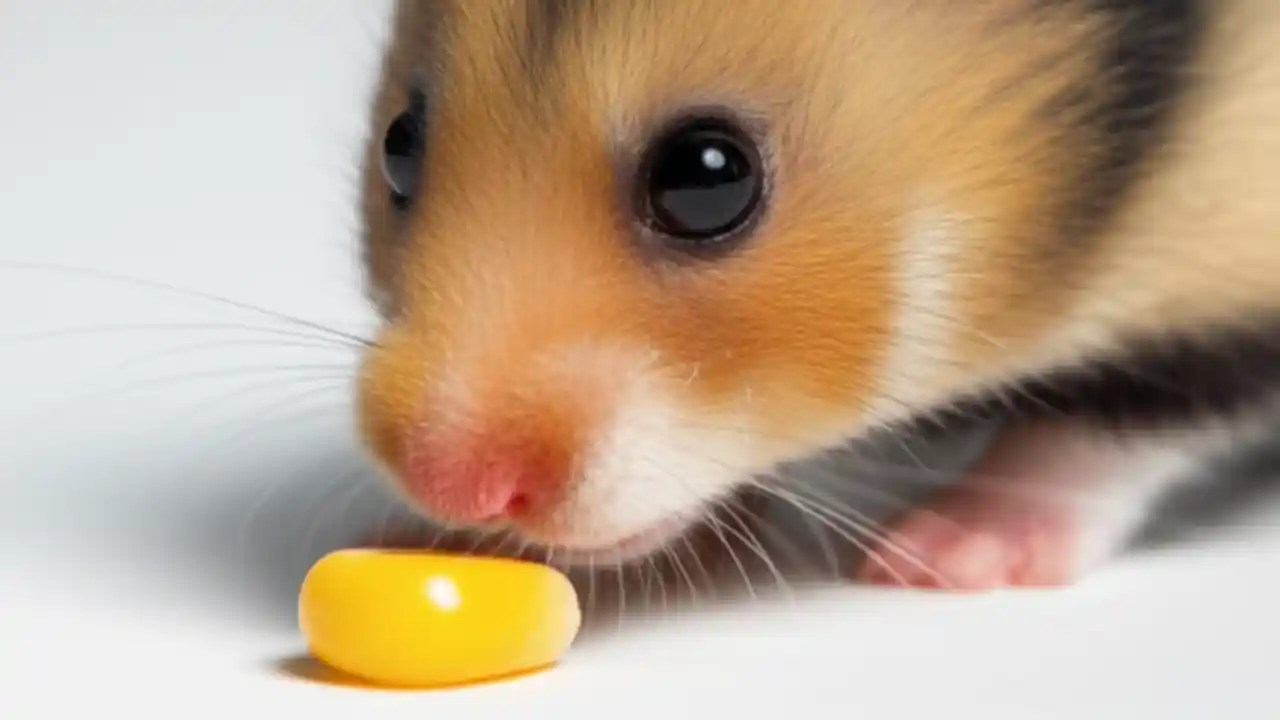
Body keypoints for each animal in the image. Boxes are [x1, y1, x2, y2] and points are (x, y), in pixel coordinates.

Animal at [353, 0, 1280, 589]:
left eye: (707, 179)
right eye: (398, 145)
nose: (445, 485)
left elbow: (1100, 426)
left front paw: (937, 557)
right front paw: (417, 538)